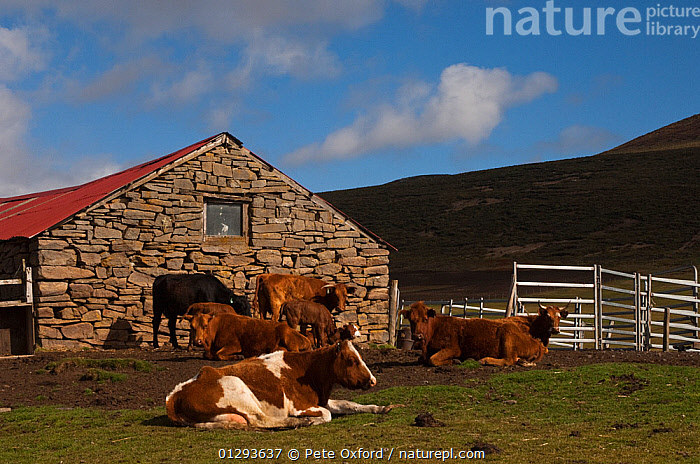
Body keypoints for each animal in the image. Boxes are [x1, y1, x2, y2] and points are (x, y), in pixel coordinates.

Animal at [165, 340, 392, 429]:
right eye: (351, 360)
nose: (373, 380)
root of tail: (174, 396)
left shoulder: (322, 400)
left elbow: (350, 404)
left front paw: (381, 407)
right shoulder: (300, 406)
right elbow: (327, 415)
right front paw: (311, 420)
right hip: (239, 389)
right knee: (261, 420)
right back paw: (298, 422)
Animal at [400, 301, 548, 367]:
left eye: (425, 319)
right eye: (411, 320)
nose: (417, 336)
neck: (436, 328)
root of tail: (536, 342)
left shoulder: (453, 349)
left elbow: (433, 360)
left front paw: (455, 360)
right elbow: (423, 359)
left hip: (507, 338)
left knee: (509, 360)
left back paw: (485, 360)